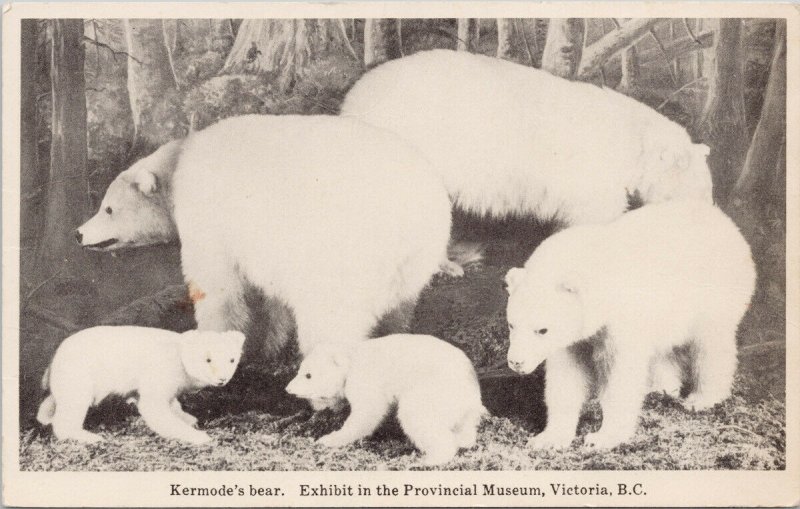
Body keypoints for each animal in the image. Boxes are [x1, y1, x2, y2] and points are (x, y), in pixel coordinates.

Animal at [37, 326, 245, 444]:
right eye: (208, 359)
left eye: (231, 359)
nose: (222, 378)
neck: (179, 352)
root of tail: (53, 360)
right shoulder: (162, 368)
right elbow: (153, 406)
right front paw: (199, 436)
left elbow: (171, 402)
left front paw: (188, 418)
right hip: (79, 372)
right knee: (74, 404)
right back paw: (87, 436)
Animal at [285, 334, 486, 465]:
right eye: (300, 371)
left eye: (308, 375)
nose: (288, 389)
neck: (351, 360)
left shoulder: (365, 379)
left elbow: (367, 413)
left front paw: (329, 439)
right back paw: (464, 441)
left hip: (434, 389)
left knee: (417, 417)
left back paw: (431, 458)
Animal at [503, 200, 756, 450]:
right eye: (511, 325)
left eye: (542, 330)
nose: (516, 362)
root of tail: (722, 219)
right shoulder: (574, 337)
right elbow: (566, 378)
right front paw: (549, 438)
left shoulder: (620, 321)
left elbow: (620, 375)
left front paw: (603, 437)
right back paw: (660, 388)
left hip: (715, 293)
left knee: (711, 347)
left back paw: (702, 399)